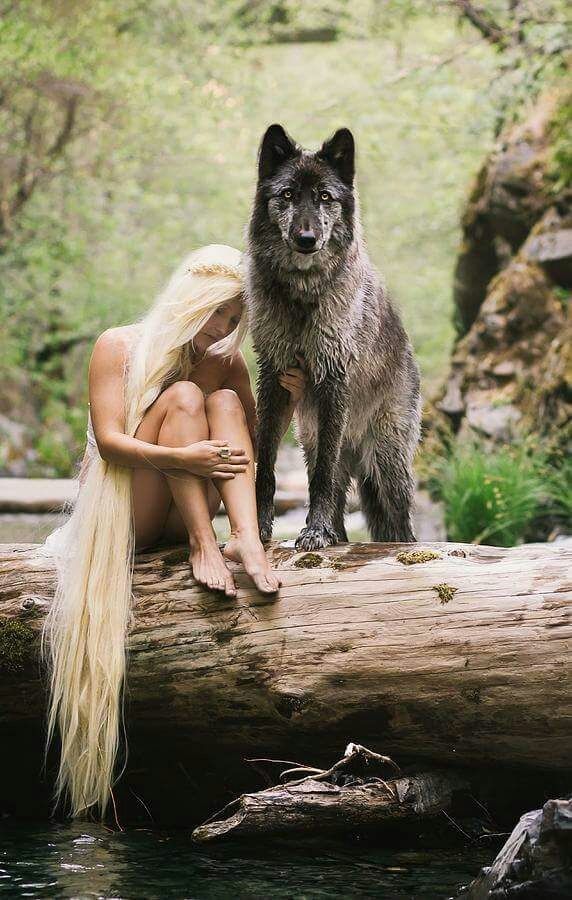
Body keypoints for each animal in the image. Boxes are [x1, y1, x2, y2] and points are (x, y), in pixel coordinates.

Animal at [246, 123, 421, 551]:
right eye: (288, 195)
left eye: (325, 197)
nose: (307, 238)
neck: (302, 297)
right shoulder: (273, 377)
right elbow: (266, 462)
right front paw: (260, 528)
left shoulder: (333, 378)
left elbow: (323, 475)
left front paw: (315, 531)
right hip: (311, 439)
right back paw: (337, 537)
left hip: (386, 465)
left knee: (400, 526)